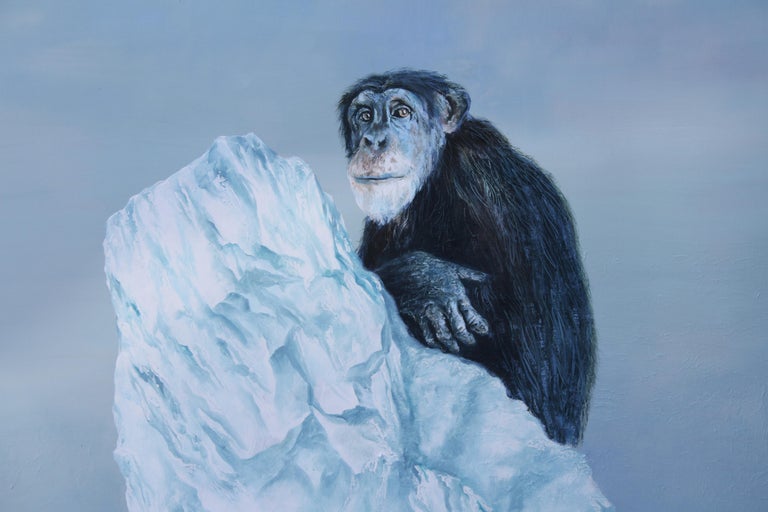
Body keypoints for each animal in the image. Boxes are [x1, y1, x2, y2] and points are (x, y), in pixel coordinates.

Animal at [338, 69, 596, 445]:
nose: (373, 140)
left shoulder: (493, 189)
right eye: (365, 115)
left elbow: (535, 348)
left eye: (401, 112)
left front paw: (423, 280)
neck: (437, 174)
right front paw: (426, 282)